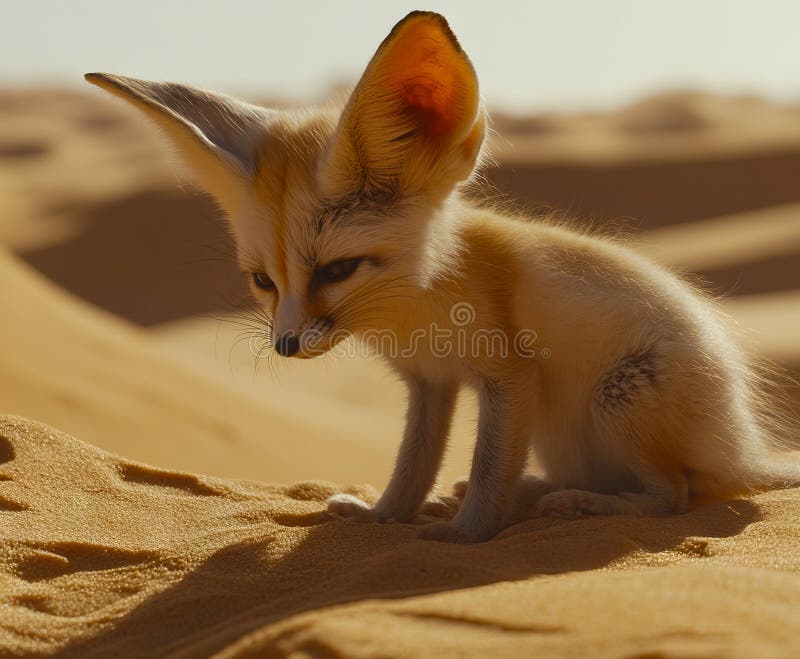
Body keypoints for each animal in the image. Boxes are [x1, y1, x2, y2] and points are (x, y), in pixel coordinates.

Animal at [85, 10, 800, 543]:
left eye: (338, 269)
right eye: (263, 281)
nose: (285, 346)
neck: (417, 305)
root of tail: (746, 446)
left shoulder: (507, 375)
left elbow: (486, 469)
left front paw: (465, 536)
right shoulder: (429, 382)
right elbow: (413, 464)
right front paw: (384, 518)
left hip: (615, 398)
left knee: (675, 495)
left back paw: (580, 504)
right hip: (561, 428)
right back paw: (541, 492)